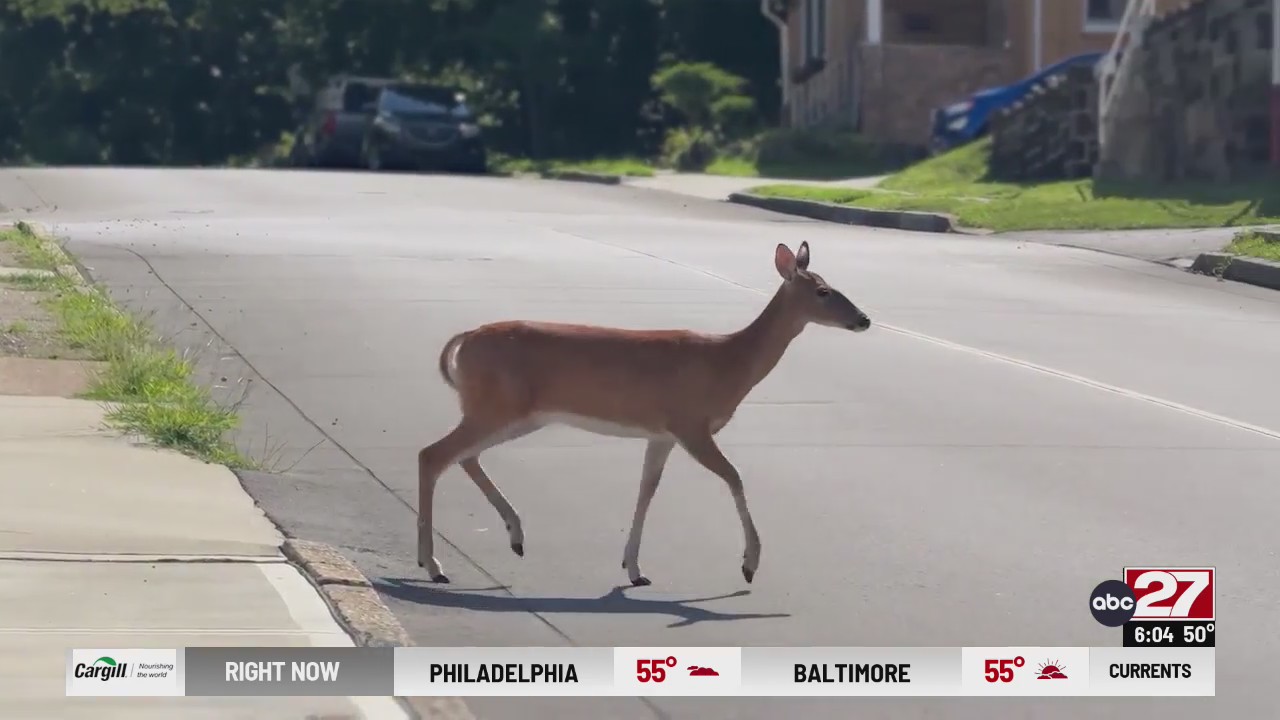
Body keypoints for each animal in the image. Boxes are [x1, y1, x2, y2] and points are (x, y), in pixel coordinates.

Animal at [416, 241, 871, 586]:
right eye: (823, 291)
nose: (864, 319)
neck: (727, 362)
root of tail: (464, 339)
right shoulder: (690, 424)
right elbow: (735, 477)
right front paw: (749, 565)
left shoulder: (661, 435)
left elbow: (647, 489)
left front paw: (634, 569)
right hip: (497, 406)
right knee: (433, 454)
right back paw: (434, 565)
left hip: (516, 413)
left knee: (464, 456)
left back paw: (514, 537)